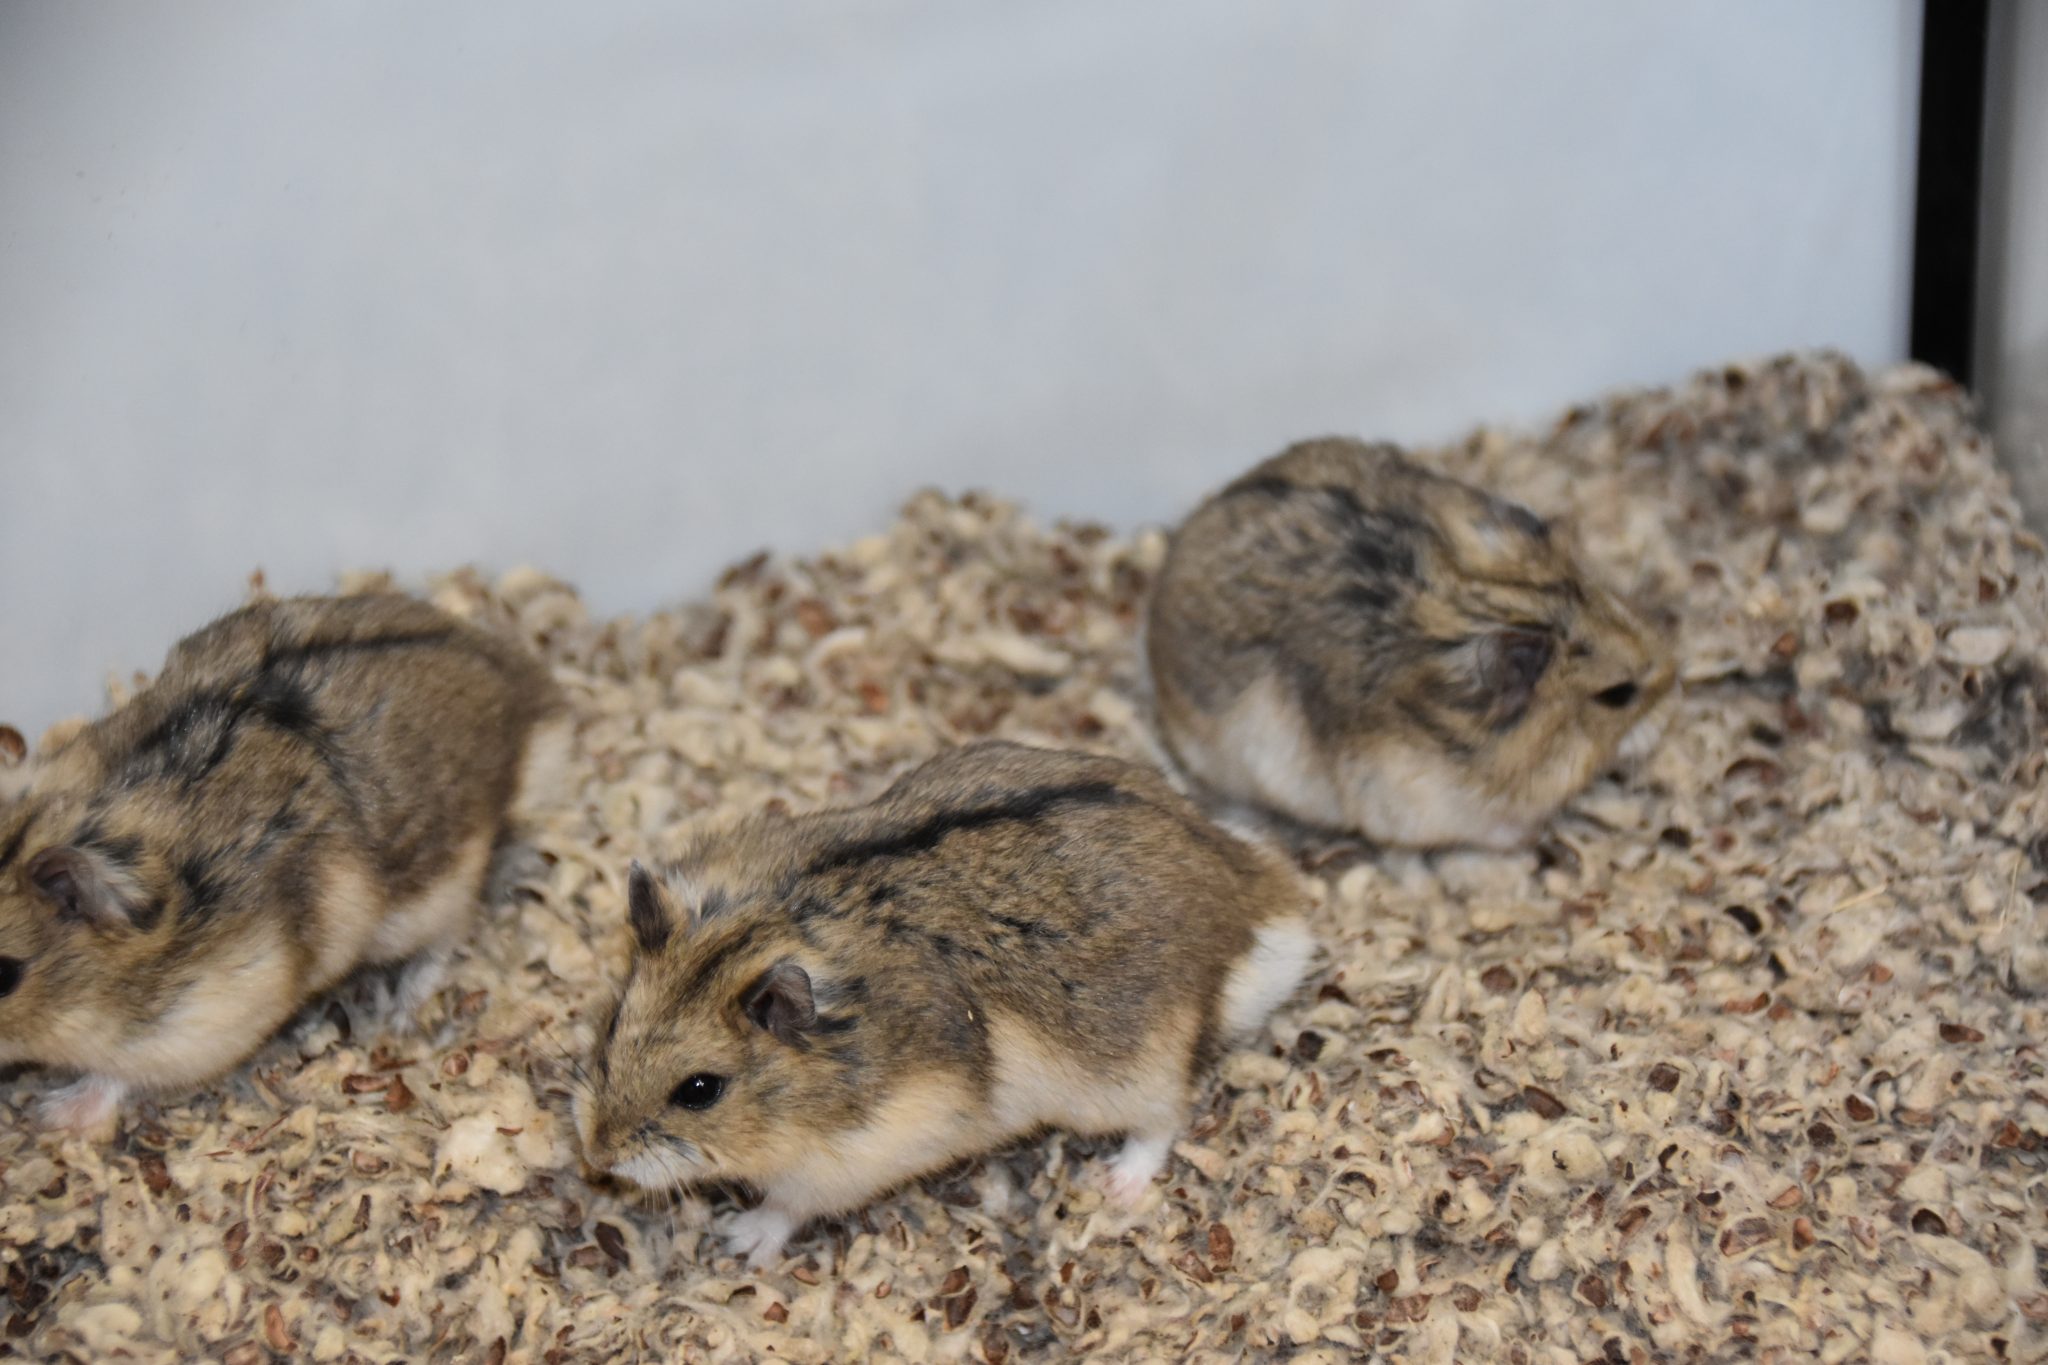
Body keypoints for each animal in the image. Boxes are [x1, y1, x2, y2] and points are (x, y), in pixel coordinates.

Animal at [0, 593, 571, 1133]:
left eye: (6, 976)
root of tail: (523, 696)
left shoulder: (198, 1026)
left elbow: (116, 1076)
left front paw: (52, 1115)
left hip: (430, 893)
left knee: (449, 934)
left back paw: (400, 1015)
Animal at [576, 740, 1314, 1266]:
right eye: (610, 1026)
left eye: (700, 1089)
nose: (597, 1160)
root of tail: (1255, 899)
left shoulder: (851, 1159)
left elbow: (788, 1205)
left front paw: (739, 1239)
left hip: (1127, 1072)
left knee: (1166, 1117)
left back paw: (1117, 1184)